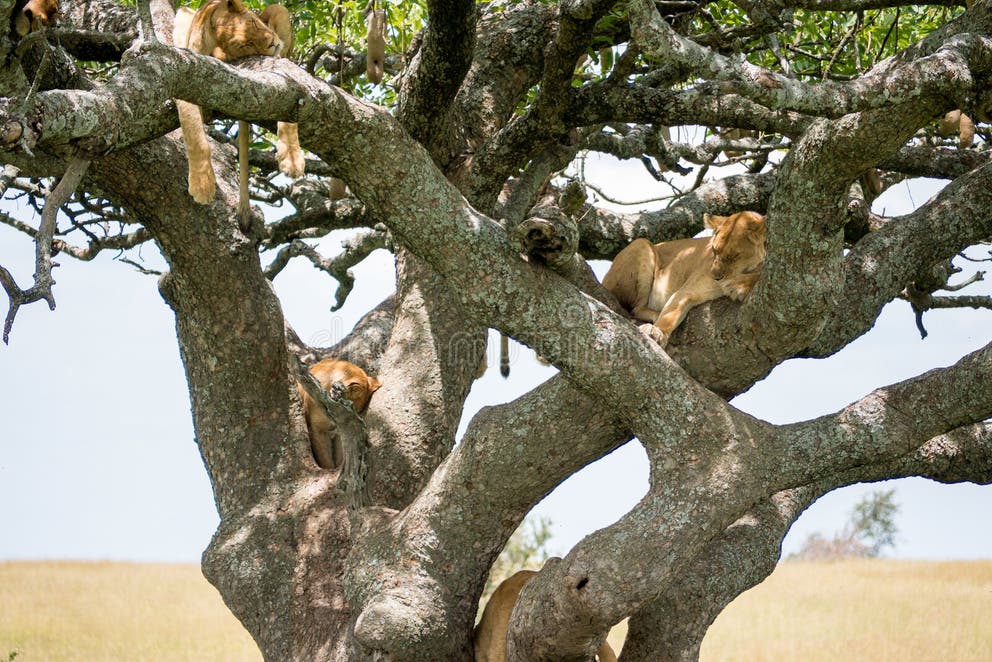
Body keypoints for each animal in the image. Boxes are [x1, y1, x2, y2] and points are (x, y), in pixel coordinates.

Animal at [173, 0, 304, 229]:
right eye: (246, 44)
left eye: (254, 22)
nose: (272, 44)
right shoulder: (185, 74)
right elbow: (194, 135)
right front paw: (202, 185)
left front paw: (292, 159)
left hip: (279, 11)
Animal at [602, 211, 766, 347]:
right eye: (714, 250)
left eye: (734, 257)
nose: (715, 277)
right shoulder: (688, 291)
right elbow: (670, 314)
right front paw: (657, 332)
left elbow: (759, 273)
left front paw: (739, 286)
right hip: (642, 244)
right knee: (637, 308)